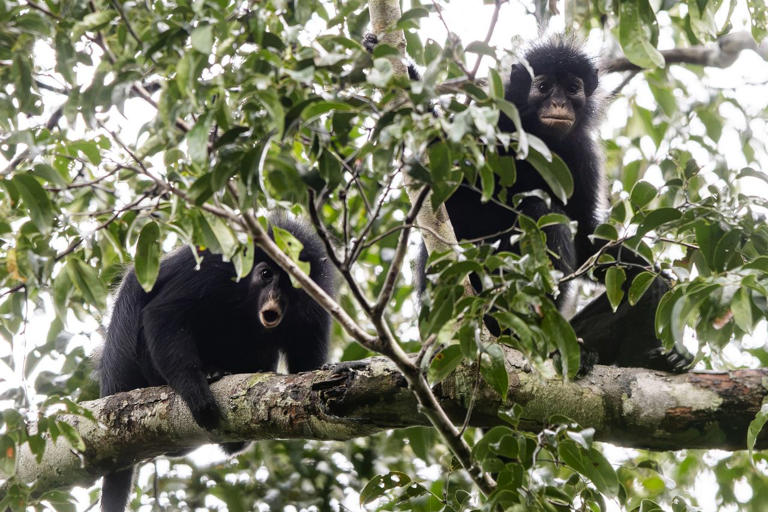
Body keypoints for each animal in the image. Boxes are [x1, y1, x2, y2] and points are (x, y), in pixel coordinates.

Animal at [97, 215, 334, 512]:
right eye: (266, 275)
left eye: (292, 283)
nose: (275, 297)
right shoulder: (216, 269)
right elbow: (162, 314)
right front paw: (196, 390)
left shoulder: (317, 302)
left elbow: (306, 374)